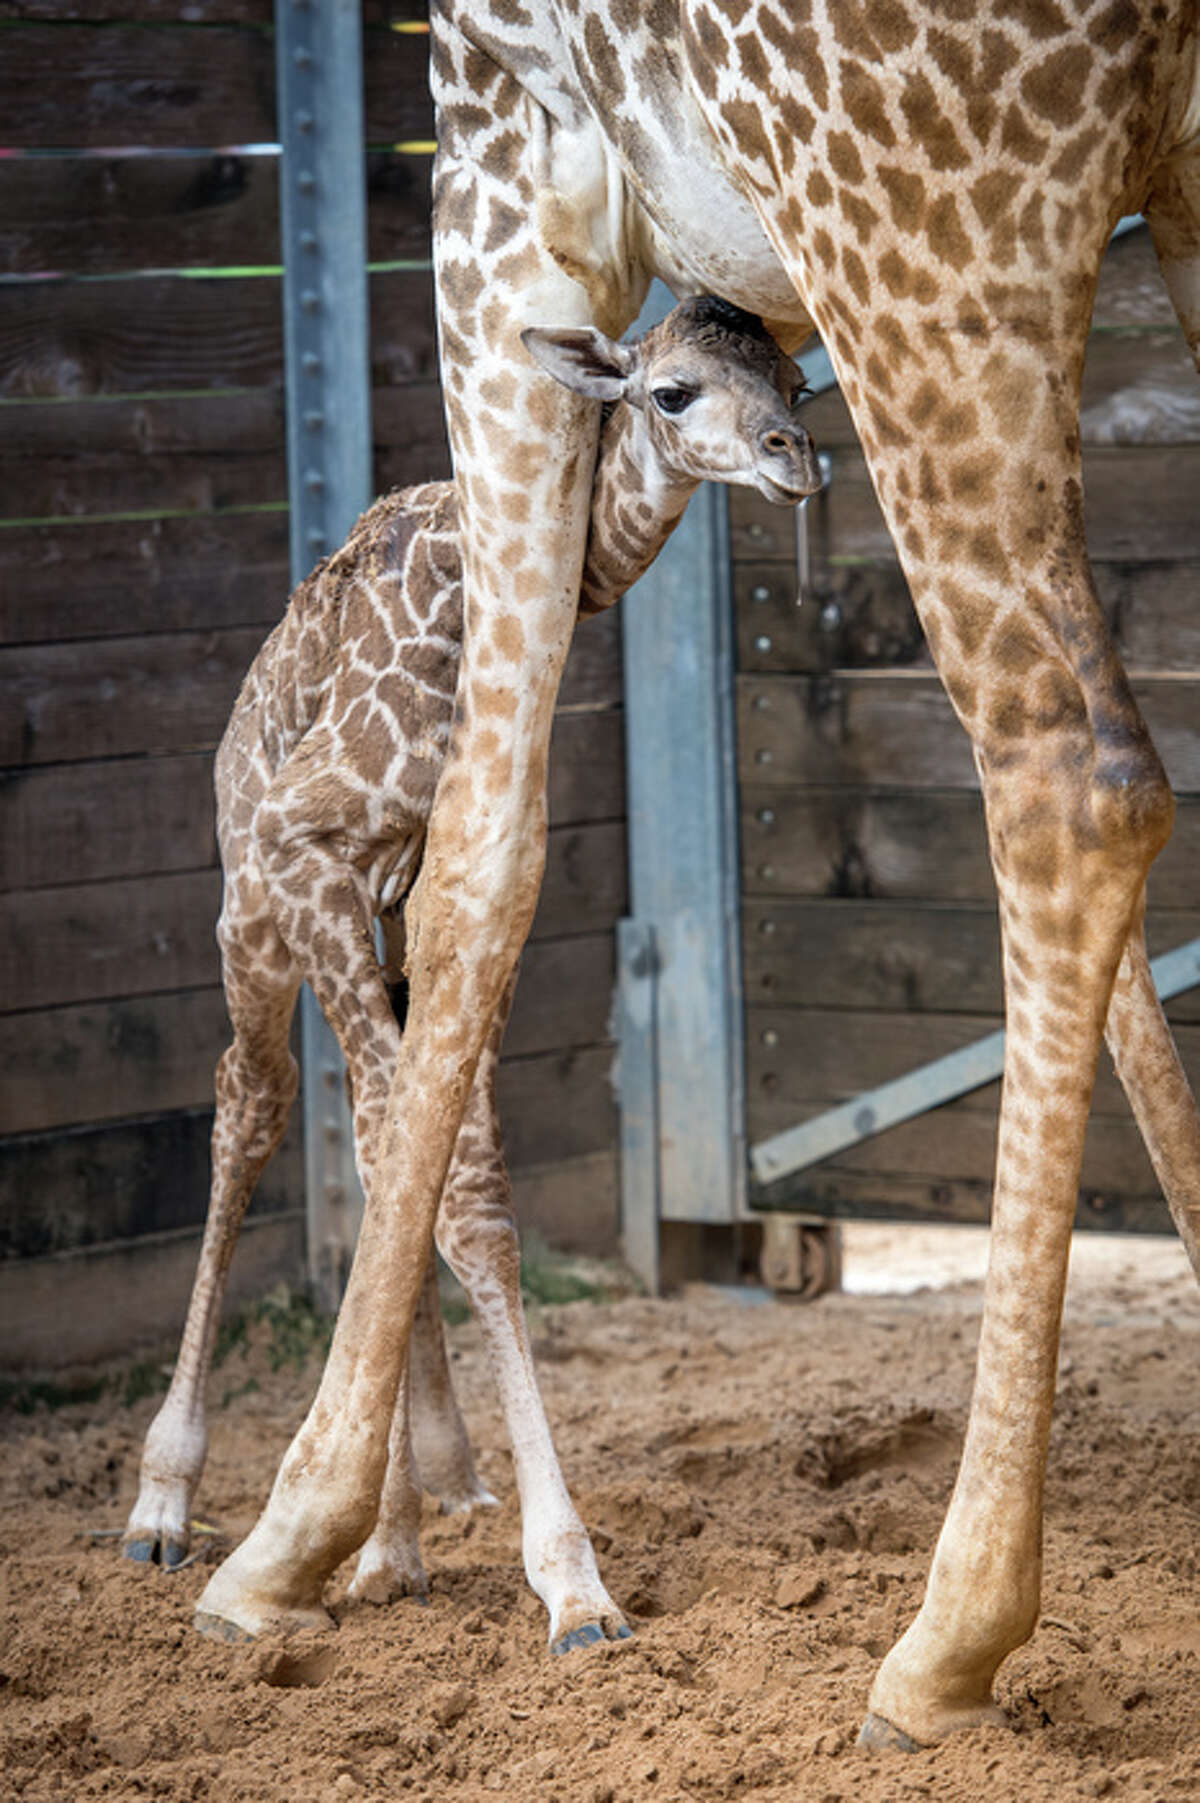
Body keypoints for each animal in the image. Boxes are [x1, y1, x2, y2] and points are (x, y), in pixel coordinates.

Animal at [122, 299, 818, 1649]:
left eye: (795, 381)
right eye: (669, 392)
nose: (794, 456)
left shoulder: (458, 898)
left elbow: (465, 1193)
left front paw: (516, 1566)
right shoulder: (311, 851)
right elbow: (420, 1172)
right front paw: (504, 1565)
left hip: (364, 943)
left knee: (364, 1142)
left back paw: (423, 1498)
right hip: (251, 916)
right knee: (250, 1108)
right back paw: (165, 1507)